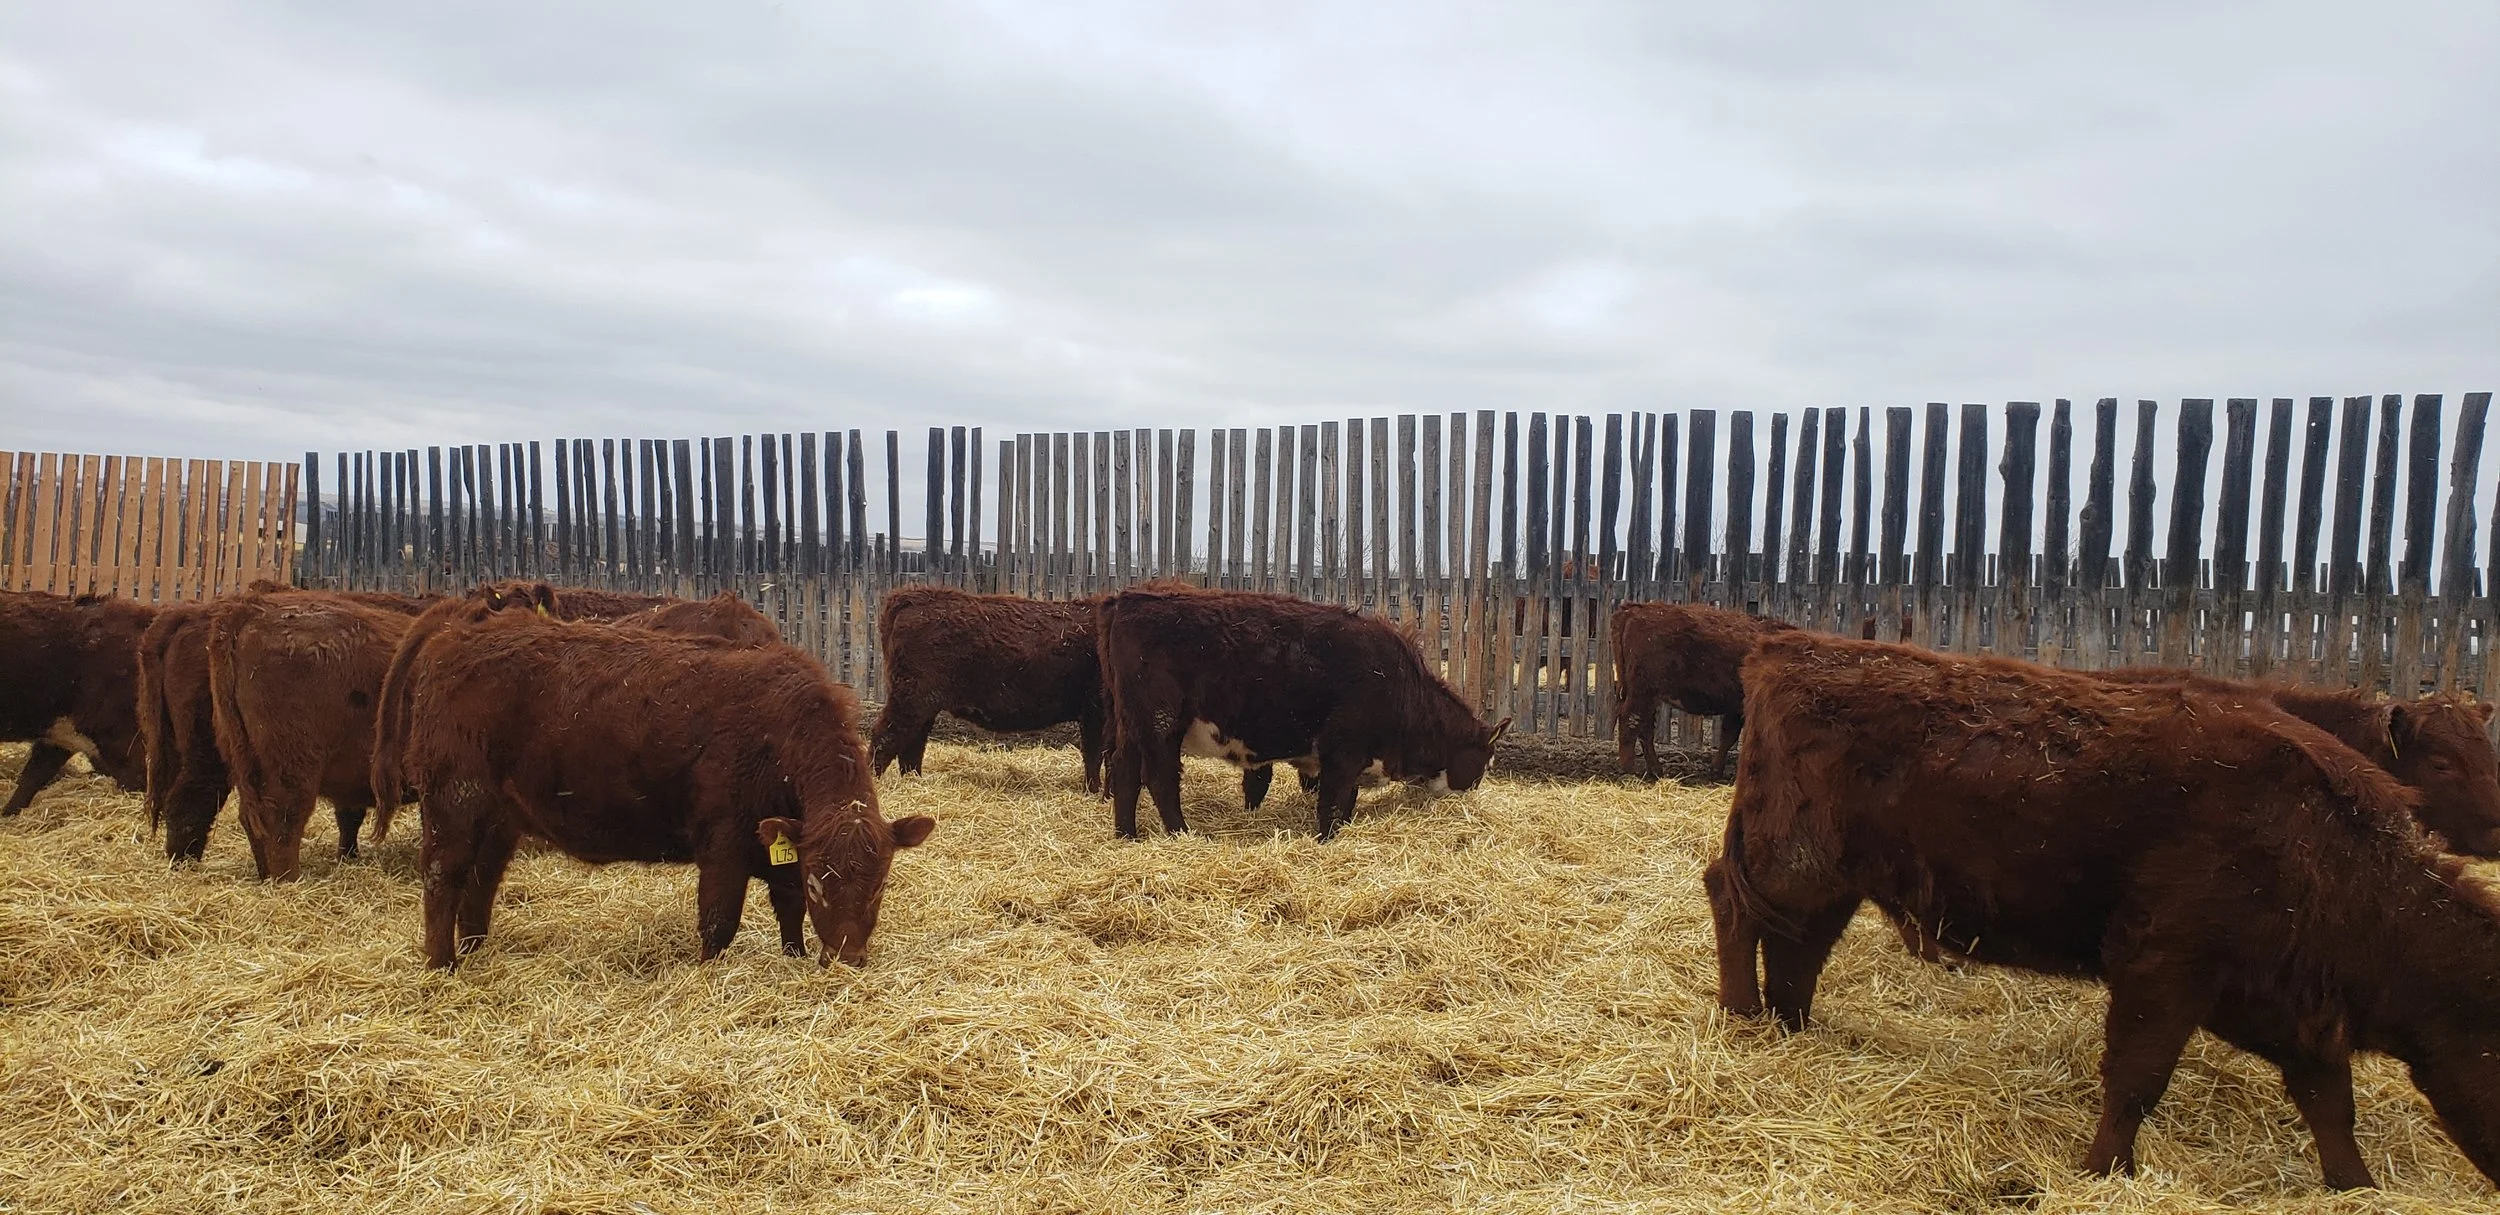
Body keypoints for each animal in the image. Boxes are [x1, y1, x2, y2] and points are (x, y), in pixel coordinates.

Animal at [370, 600, 932, 968]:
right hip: (454, 802)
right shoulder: (723, 845)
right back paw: (443, 964)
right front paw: (708, 976)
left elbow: (788, 909)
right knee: (443, 876)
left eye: (880, 883)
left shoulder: (781, 841)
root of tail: (458, 631)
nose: (847, 960)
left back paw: (475, 948)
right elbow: (718, 922)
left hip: (499, 816)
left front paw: (793, 958)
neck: (777, 731)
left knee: (482, 879)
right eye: (821, 881)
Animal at [1096, 588, 1507, 840]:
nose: (1473, 794)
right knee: (1160, 778)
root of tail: (1128, 600)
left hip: (1131, 726)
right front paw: (1326, 839)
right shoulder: (1342, 752)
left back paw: (1127, 835)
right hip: (1161, 725)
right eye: (1486, 764)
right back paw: (1181, 832)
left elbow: (1345, 801)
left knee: (1125, 772)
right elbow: (1332, 803)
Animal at [1609, 602, 1797, 781]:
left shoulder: (1736, 708)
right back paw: (1629, 770)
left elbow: (1728, 736)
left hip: (1642, 694)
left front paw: (1716, 770)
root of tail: (1634, 610)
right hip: (1644, 692)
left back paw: (1655, 770)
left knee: (1644, 726)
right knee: (1630, 719)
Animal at [1705, 631, 2500, 1192]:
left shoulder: (2294, 1005)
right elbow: (2135, 1079)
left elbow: (2330, 1104)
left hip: (1833, 878)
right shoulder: (2161, 969)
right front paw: (2103, 1169)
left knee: (1798, 945)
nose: (2494, 829)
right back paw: (1743, 1018)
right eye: (2443, 763)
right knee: (1735, 905)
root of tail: (1782, 649)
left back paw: (1791, 1025)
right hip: (1791, 860)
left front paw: (2357, 1186)